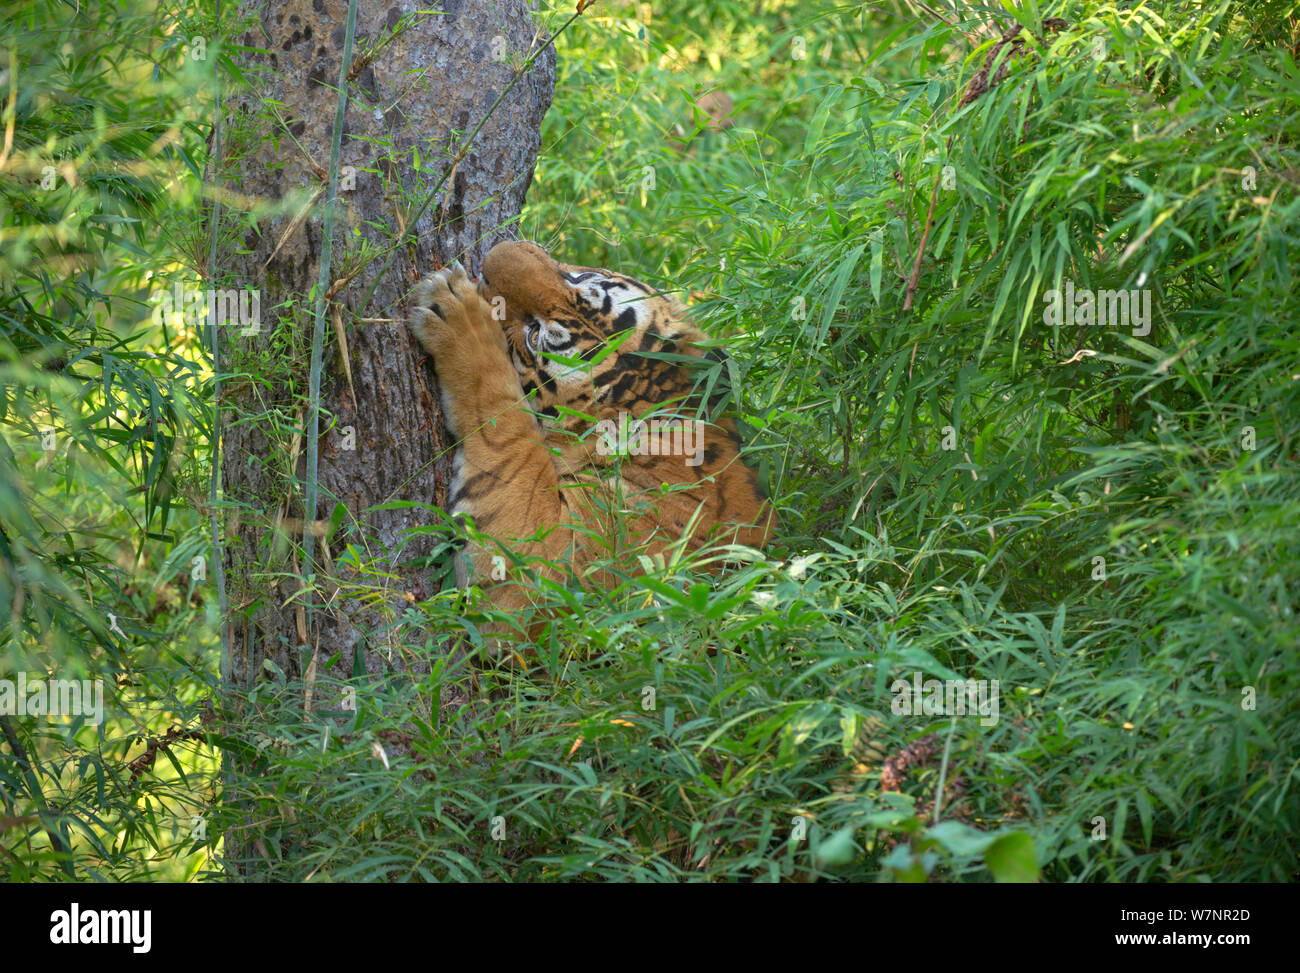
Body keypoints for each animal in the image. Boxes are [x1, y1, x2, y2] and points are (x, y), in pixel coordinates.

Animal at [407, 240, 776, 653]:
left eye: (534, 335)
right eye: (580, 276)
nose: (494, 254)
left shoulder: (549, 584)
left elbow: (508, 423)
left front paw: (458, 311)